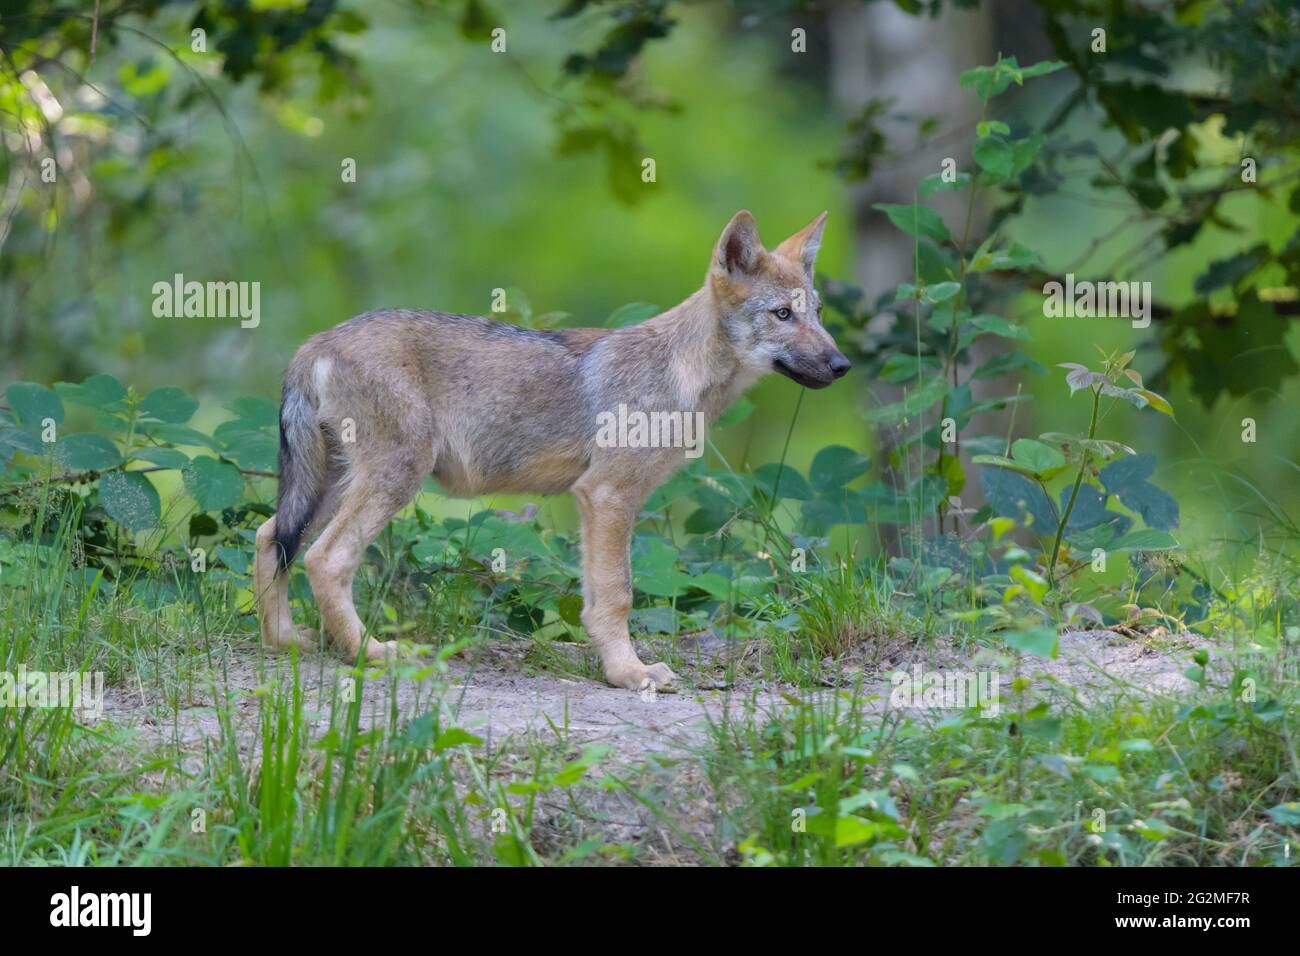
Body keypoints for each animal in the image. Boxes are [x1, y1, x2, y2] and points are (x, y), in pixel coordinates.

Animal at [253, 210, 851, 690]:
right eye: (782, 314)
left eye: (819, 313)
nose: (842, 365)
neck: (683, 376)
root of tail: (315, 342)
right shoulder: (608, 494)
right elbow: (618, 594)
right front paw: (628, 674)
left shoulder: (597, 502)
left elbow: (596, 599)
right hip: (393, 480)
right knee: (325, 559)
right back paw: (371, 654)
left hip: (329, 486)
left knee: (269, 537)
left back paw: (285, 641)